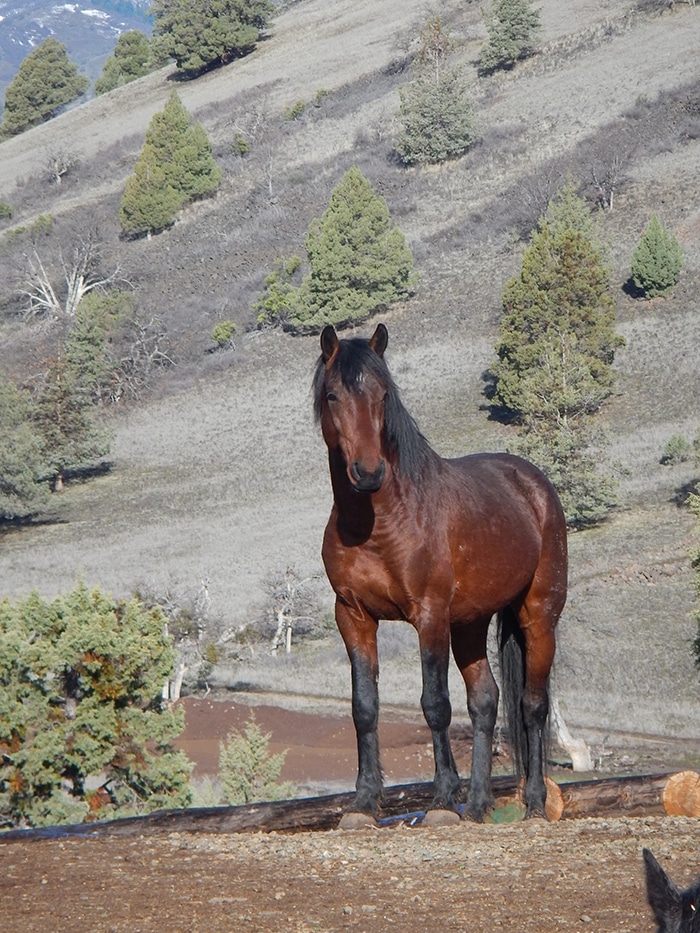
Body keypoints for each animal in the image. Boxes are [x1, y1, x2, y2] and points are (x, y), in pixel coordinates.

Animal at [314, 323, 568, 825]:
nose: (368, 472)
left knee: (532, 705)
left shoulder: (429, 616)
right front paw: (364, 802)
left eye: (384, 394)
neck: (378, 523)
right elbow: (364, 706)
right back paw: (479, 803)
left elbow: (435, 703)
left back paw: (532, 803)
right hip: (470, 623)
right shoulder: (352, 617)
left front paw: (442, 799)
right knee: (486, 700)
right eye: (333, 395)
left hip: (538, 617)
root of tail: (533, 483)